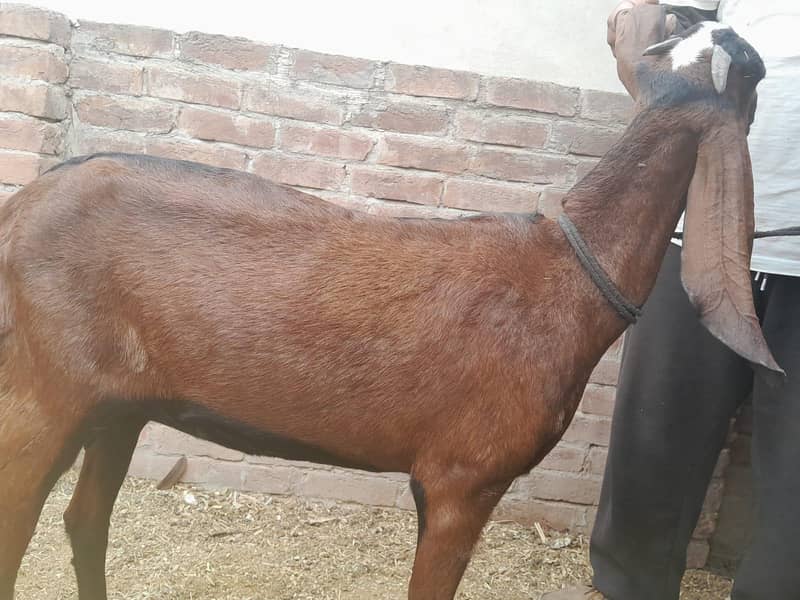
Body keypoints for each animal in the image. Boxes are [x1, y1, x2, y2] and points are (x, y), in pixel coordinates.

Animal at [0, 22, 774, 600]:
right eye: (750, 66)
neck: (563, 270)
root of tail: (21, 208)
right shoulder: (463, 479)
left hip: (119, 405)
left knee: (83, 520)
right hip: (43, 391)